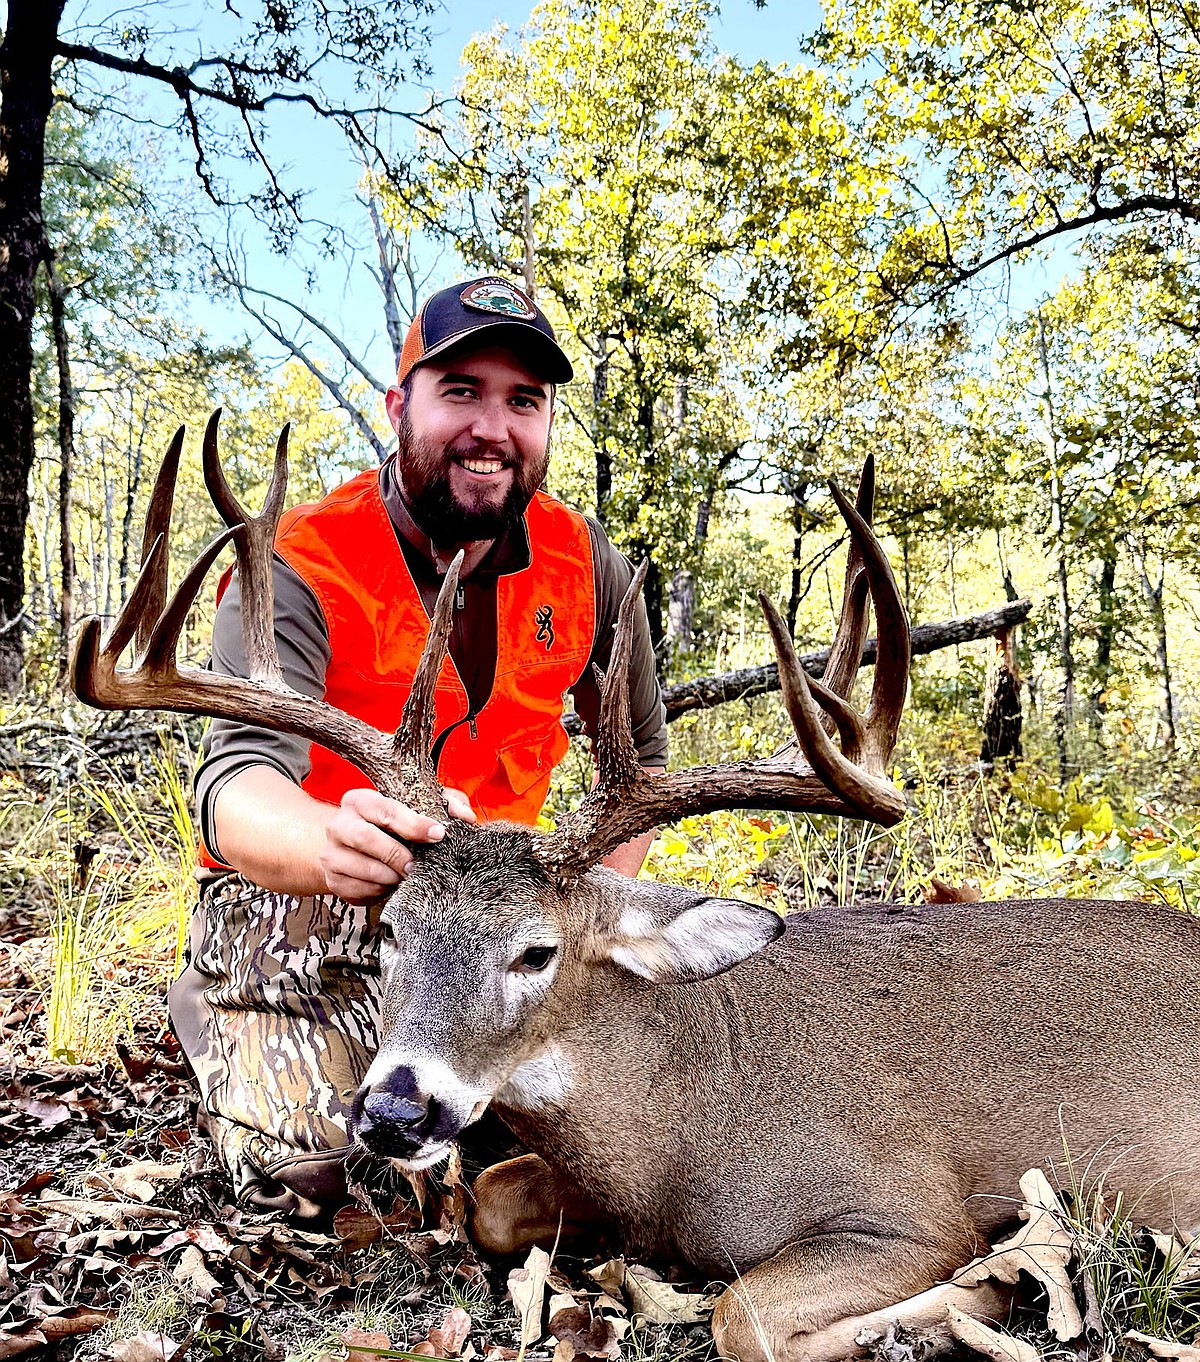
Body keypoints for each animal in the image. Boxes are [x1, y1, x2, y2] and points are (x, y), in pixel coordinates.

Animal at [73, 416, 1200, 1362]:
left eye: (537, 950)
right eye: (391, 931)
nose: (392, 1111)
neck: (681, 1126)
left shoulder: (907, 1204)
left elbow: (746, 1318)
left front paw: (995, 1285)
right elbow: (492, 1202)